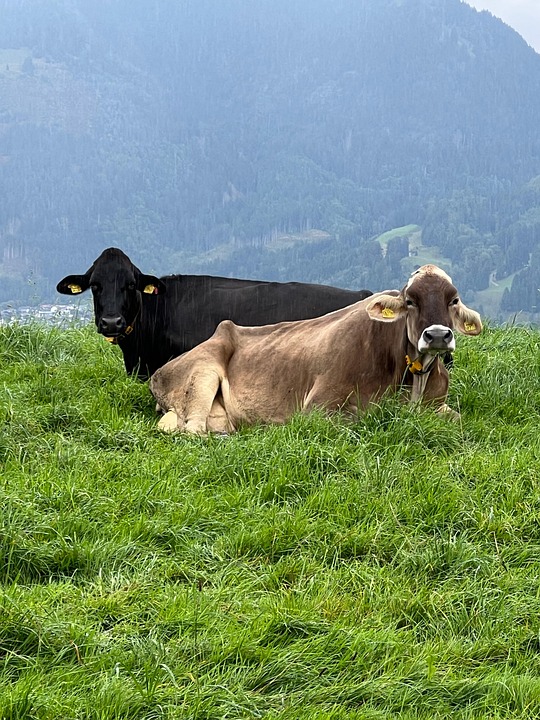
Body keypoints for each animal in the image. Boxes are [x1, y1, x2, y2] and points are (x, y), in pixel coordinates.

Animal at [149, 265, 482, 435]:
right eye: (410, 300)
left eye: (453, 300)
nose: (437, 335)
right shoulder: (318, 408)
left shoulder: (439, 405)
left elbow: (457, 419)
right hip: (203, 371)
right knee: (192, 429)